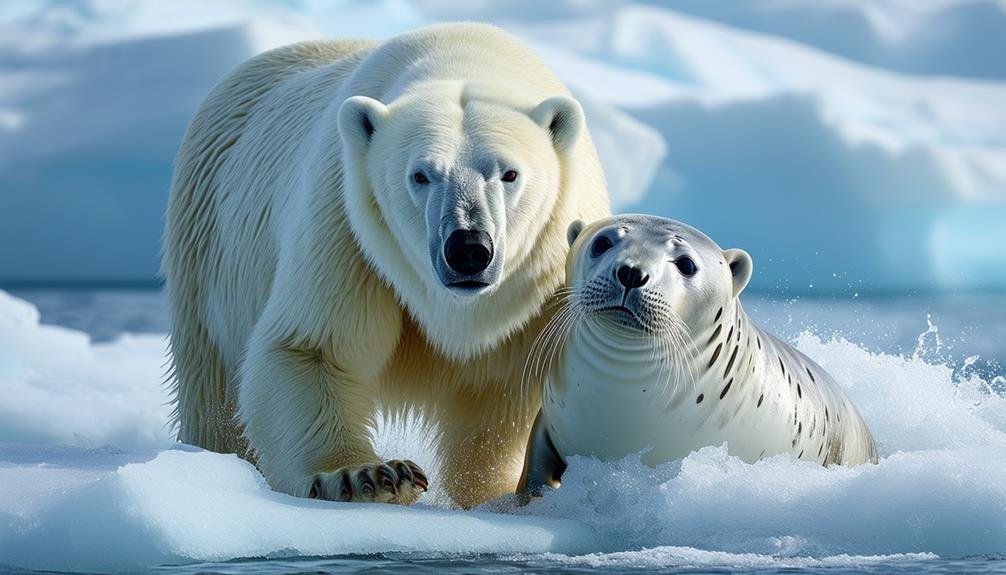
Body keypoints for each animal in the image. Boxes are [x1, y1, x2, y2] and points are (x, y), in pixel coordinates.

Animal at [162, 23, 610, 508]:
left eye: (509, 173)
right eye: (420, 175)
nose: (468, 248)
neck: (462, 57)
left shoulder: (551, 277)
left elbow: (518, 394)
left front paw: (502, 494)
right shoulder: (349, 223)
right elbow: (310, 347)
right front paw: (368, 475)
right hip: (206, 250)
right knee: (214, 396)